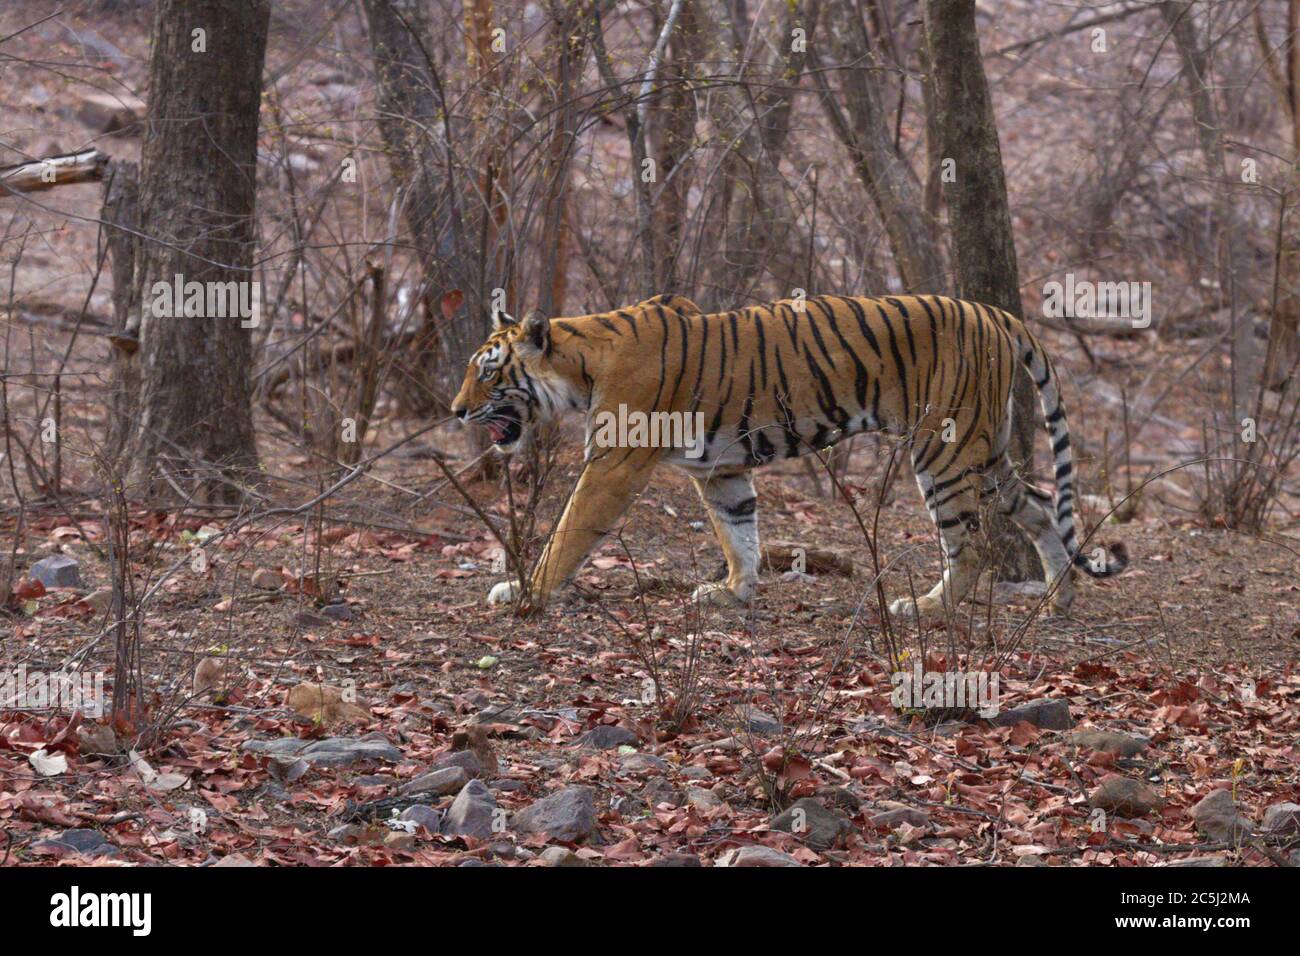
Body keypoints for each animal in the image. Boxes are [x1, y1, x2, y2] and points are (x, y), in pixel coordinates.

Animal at [449, 293, 1127, 617]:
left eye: (488, 372)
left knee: (973, 544)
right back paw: (1058, 598)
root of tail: (993, 311)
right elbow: (738, 531)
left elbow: (568, 532)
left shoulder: (614, 463)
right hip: (985, 453)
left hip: (944, 451)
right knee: (1039, 505)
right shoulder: (720, 468)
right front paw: (734, 592)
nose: (454, 411)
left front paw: (527, 591)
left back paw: (929, 608)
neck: (579, 365)